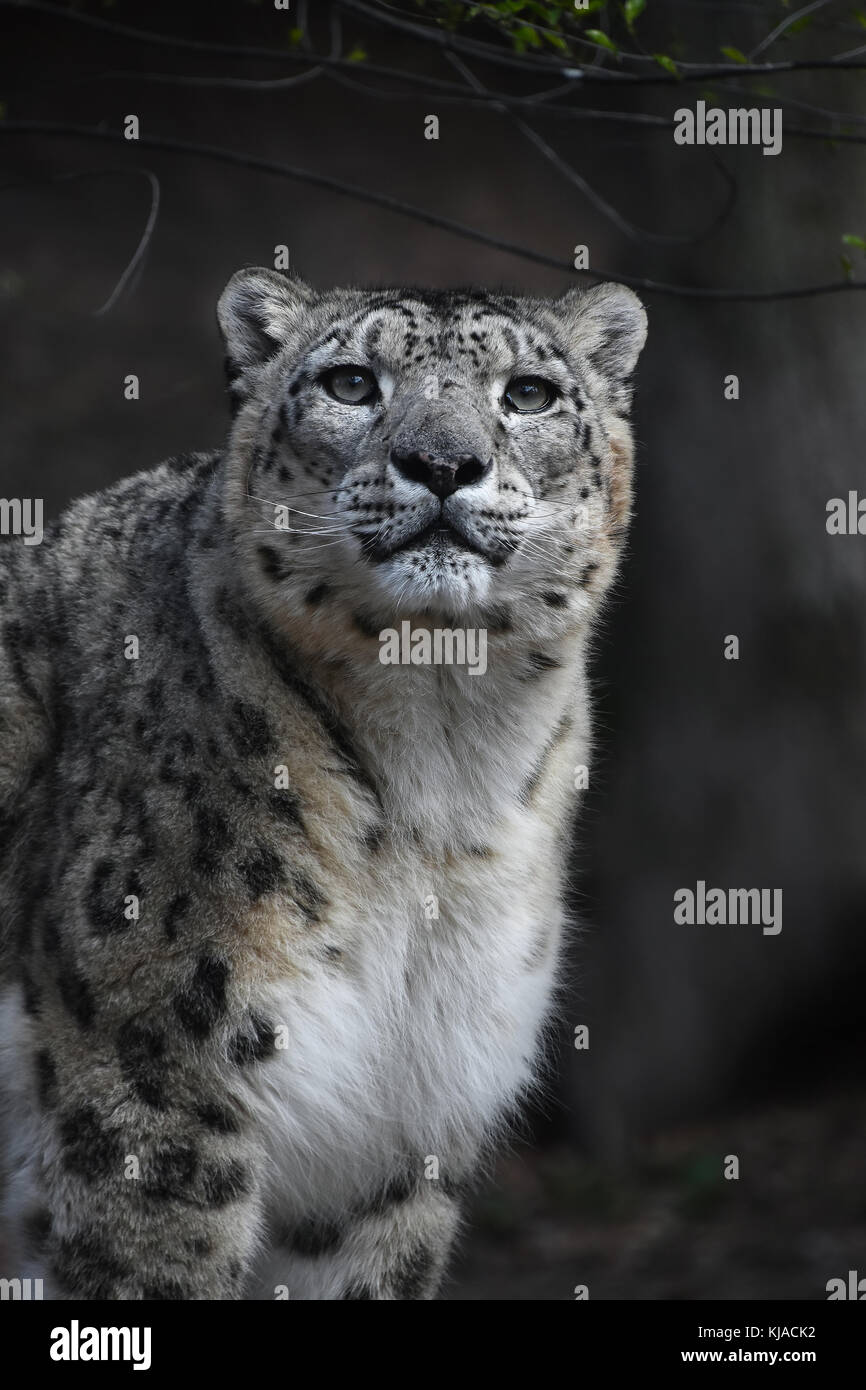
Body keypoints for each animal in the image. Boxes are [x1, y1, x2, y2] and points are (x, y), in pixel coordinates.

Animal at [0, 268, 646, 1299]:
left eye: (529, 394)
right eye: (351, 383)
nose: (442, 462)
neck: (443, 775)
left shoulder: (398, 1127)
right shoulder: (154, 1079)